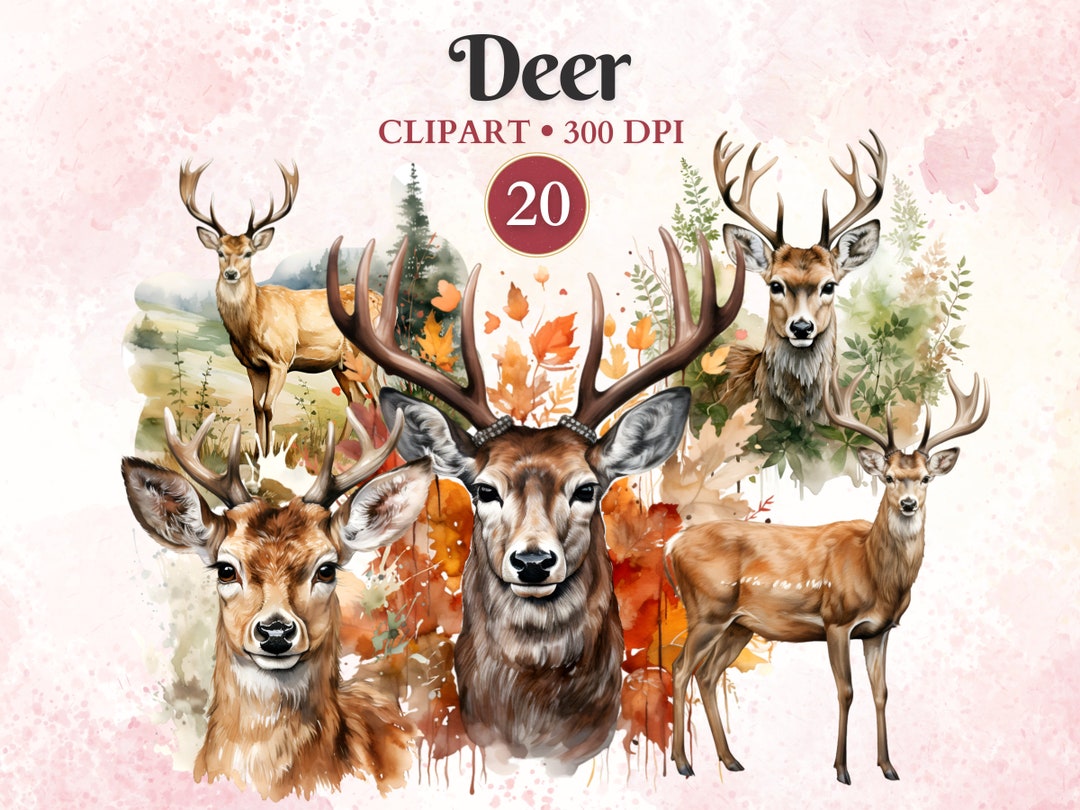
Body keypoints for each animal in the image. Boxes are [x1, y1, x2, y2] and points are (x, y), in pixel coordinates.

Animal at [179, 160, 383, 451]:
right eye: (220, 252)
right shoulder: (253, 366)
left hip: (366, 356)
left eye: (248, 253)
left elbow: (268, 407)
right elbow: (256, 406)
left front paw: (268, 453)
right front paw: (257, 453)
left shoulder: (281, 359)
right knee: (356, 398)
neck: (251, 326)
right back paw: (341, 449)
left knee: (376, 395)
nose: (231, 273)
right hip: (341, 364)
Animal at [666, 368, 989, 784]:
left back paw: (731, 759)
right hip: (707, 611)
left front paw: (888, 767)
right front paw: (842, 769)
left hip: (739, 625)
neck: (875, 574)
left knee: (706, 675)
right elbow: (846, 690)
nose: (908, 504)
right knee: (680, 669)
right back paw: (683, 763)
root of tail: (672, 546)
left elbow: (882, 692)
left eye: (925, 478)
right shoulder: (837, 619)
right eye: (889, 477)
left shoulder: (879, 631)